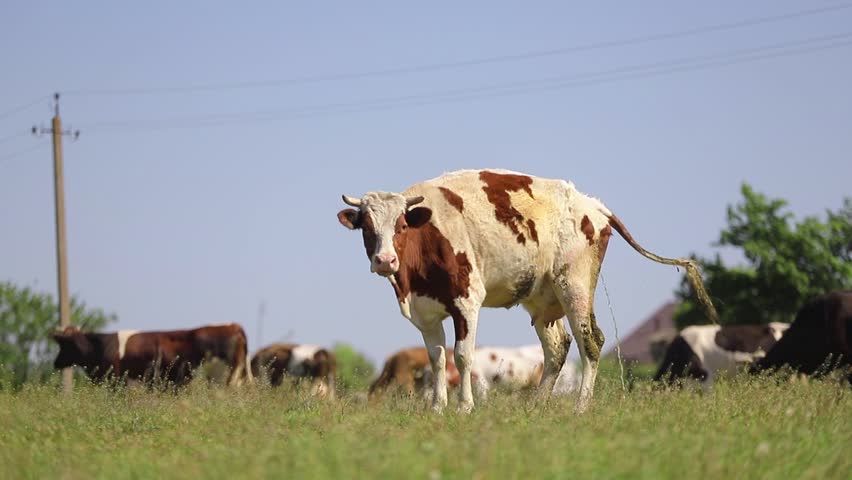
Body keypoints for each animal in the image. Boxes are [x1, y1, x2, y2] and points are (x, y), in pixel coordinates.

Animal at [337, 169, 718, 412]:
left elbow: (462, 356)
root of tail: (592, 204)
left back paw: (581, 407)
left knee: (591, 341)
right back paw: (536, 405)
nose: (385, 260)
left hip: (575, 286)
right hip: (544, 301)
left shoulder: (467, 302)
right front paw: (436, 408)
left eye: (402, 225)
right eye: (367, 227)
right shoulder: (425, 313)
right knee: (558, 349)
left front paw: (464, 408)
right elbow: (437, 358)